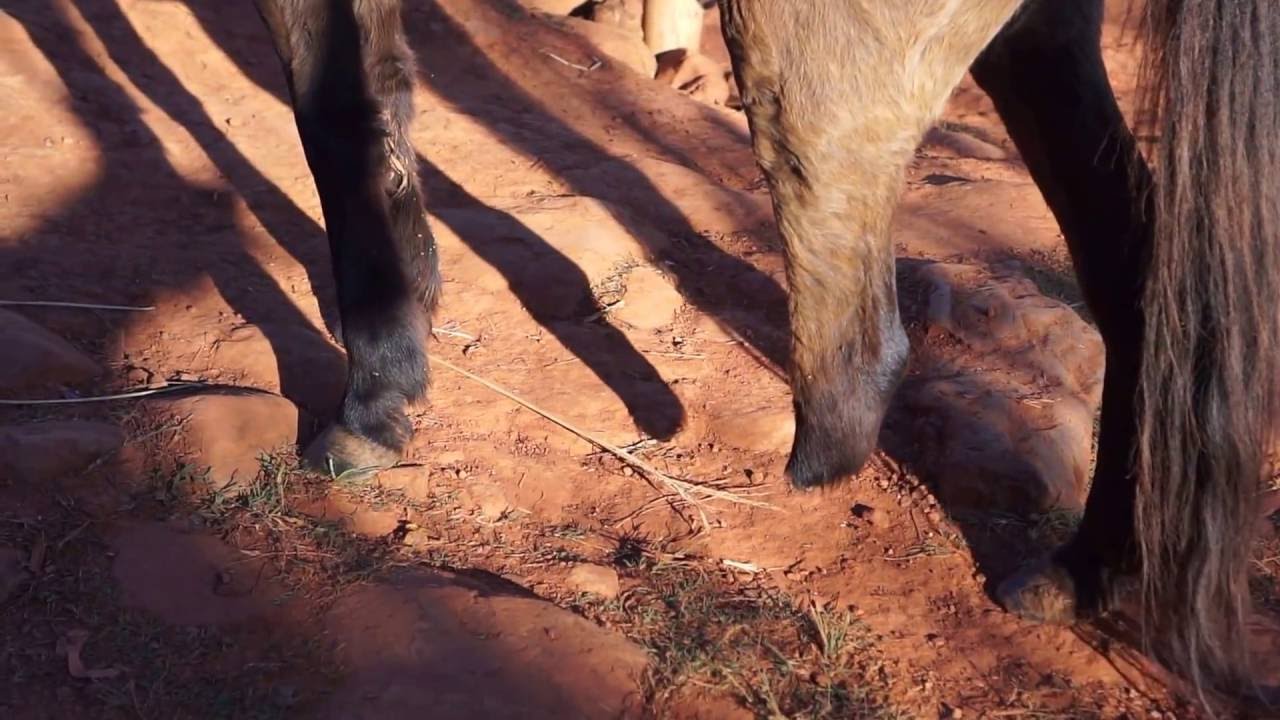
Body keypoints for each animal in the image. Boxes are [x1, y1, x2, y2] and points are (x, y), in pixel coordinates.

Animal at [251, 0, 1278, 705]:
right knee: (1146, 269)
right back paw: (1091, 573)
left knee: (859, 328)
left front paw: (371, 399)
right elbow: (371, 98)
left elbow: (333, 106)